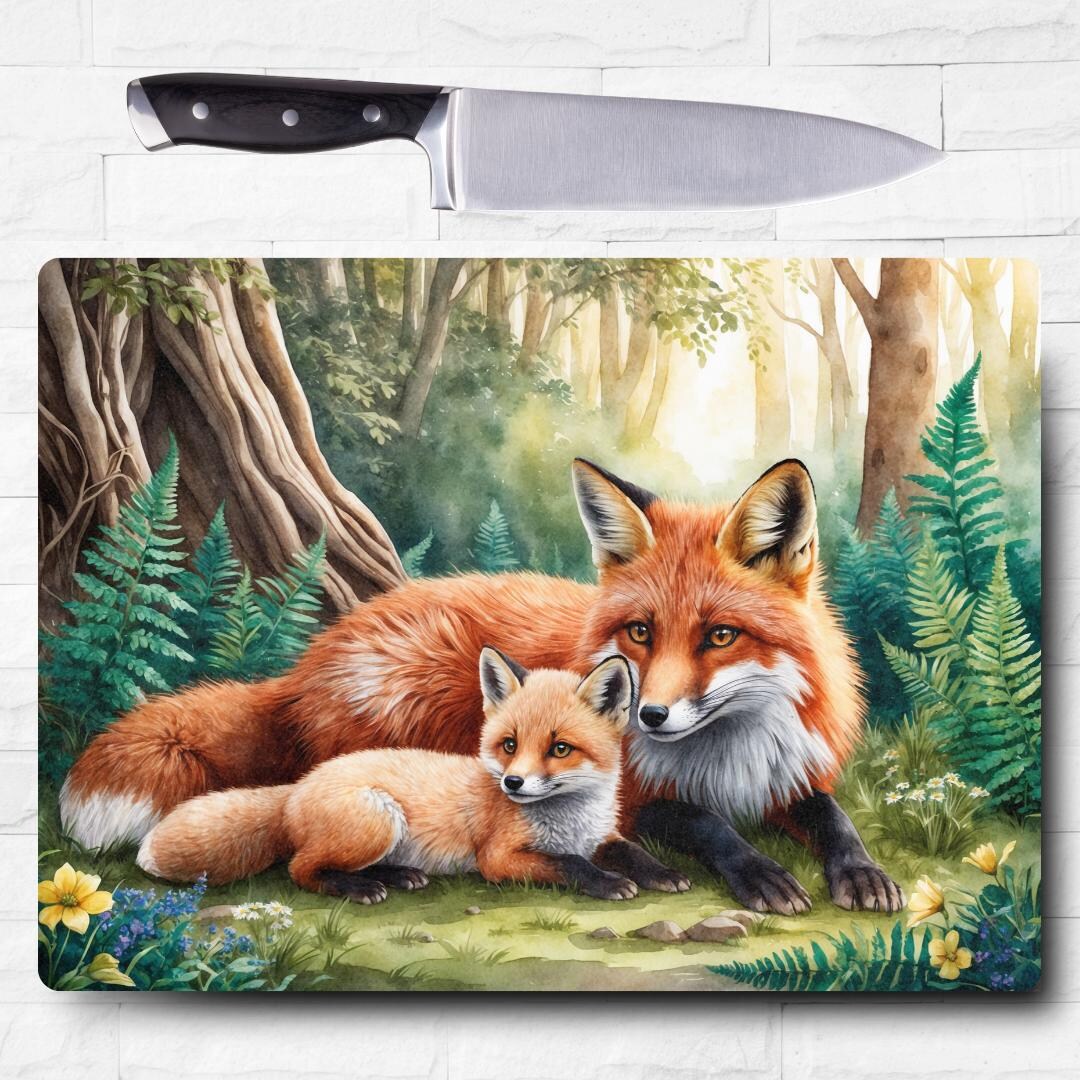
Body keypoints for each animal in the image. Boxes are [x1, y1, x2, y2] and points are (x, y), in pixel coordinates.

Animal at [135, 649, 681, 902]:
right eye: (509, 745)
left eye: (559, 749)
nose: (513, 784)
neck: (569, 820)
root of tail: (300, 785)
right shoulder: (500, 859)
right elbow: (569, 866)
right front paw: (609, 884)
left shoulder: (600, 836)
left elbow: (629, 851)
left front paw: (664, 874)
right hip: (377, 819)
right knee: (302, 870)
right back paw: (361, 888)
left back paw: (398, 876)